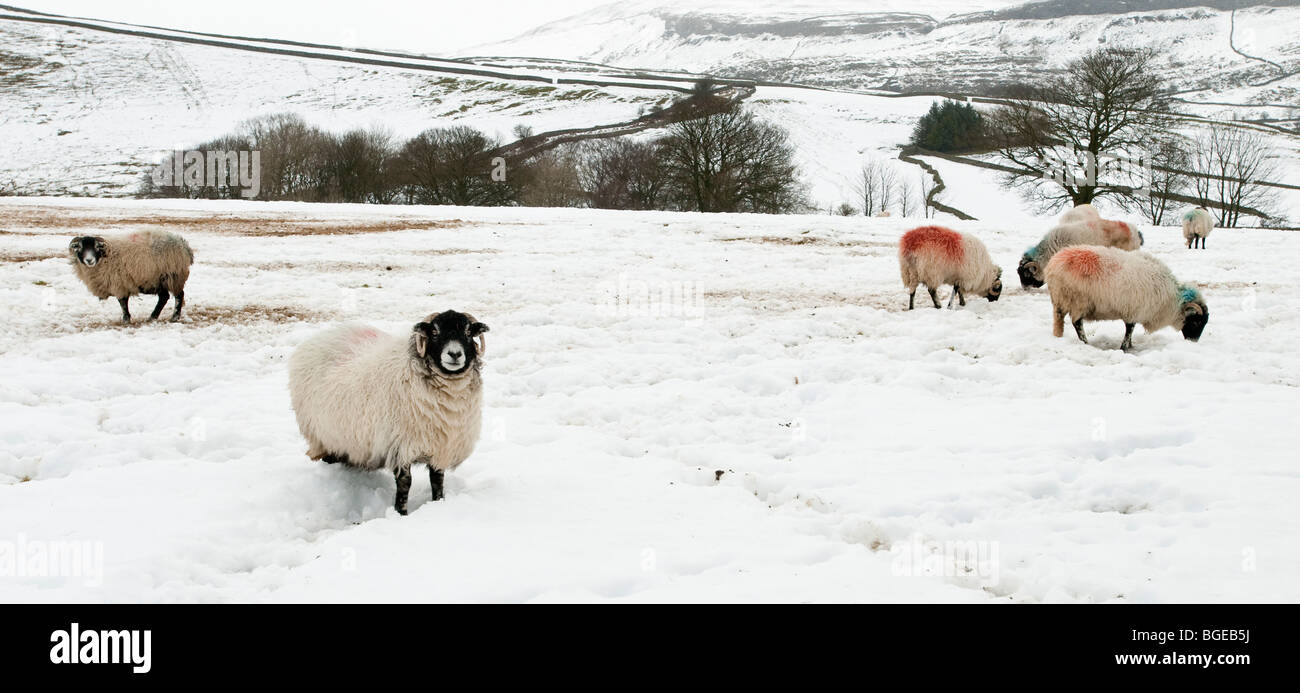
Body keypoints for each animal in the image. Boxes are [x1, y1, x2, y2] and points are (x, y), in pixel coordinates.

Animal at [288, 310, 490, 515]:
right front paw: (401, 512)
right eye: (434, 332)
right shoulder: (400, 444)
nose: (454, 354)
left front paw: (438, 502)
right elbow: (405, 483)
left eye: (468, 332)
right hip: (322, 433)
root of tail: (319, 338)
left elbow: (437, 479)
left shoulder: (440, 444)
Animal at [1045, 245, 1208, 352]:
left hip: (1059, 301)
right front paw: (1124, 347)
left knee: (1059, 321)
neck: (1171, 300)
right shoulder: (1134, 310)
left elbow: (1130, 330)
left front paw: (1130, 345)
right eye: (1196, 322)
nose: (1194, 342)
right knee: (1077, 323)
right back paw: (1085, 343)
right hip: (1077, 301)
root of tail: (1052, 265)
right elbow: (1129, 329)